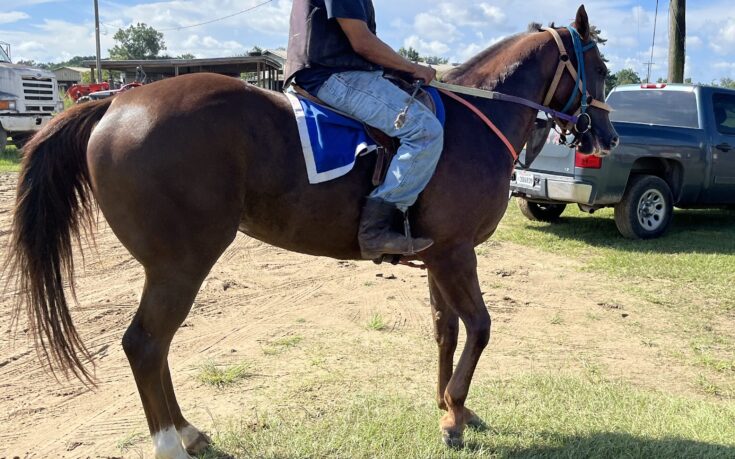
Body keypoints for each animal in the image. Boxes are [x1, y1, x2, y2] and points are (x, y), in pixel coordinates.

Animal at [4, 5, 617, 457]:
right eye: (601, 69)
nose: (607, 136)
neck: (474, 122)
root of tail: (118, 102)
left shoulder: (439, 255)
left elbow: (446, 331)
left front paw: (450, 407)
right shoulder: (456, 253)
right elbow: (481, 328)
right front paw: (454, 417)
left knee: (157, 347)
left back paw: (188, 432)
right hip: (179, 265)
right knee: (146, 345)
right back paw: (169, 443)